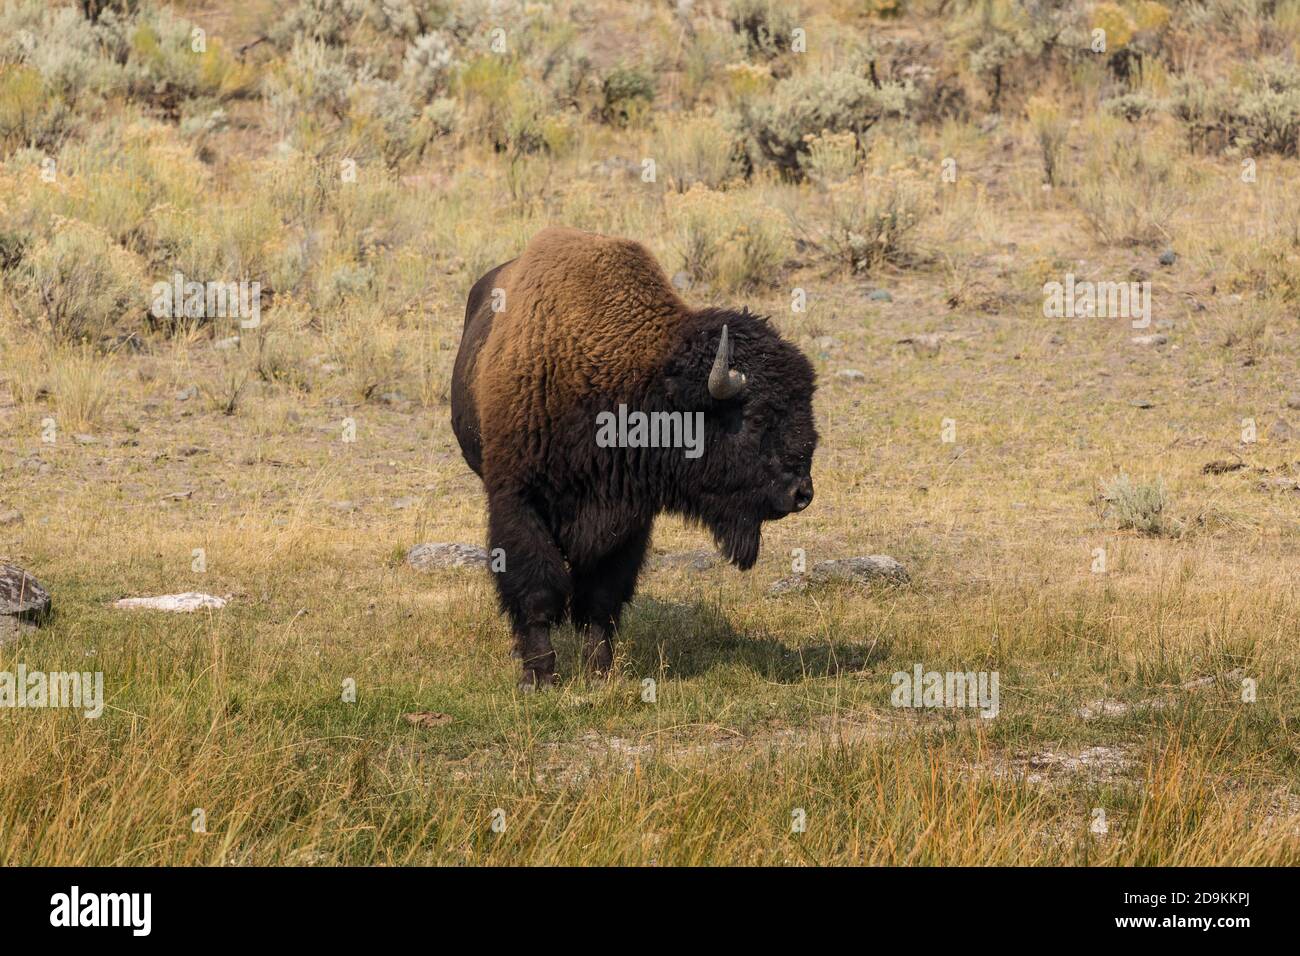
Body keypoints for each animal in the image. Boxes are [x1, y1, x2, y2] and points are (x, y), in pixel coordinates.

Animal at [451, 227, 817, 690]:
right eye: (755, 417)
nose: (801, 493)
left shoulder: (628, 519)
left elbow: (602, 596)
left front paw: (600, 672)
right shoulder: (518, 501)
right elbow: (536, 587)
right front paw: (539, 677)